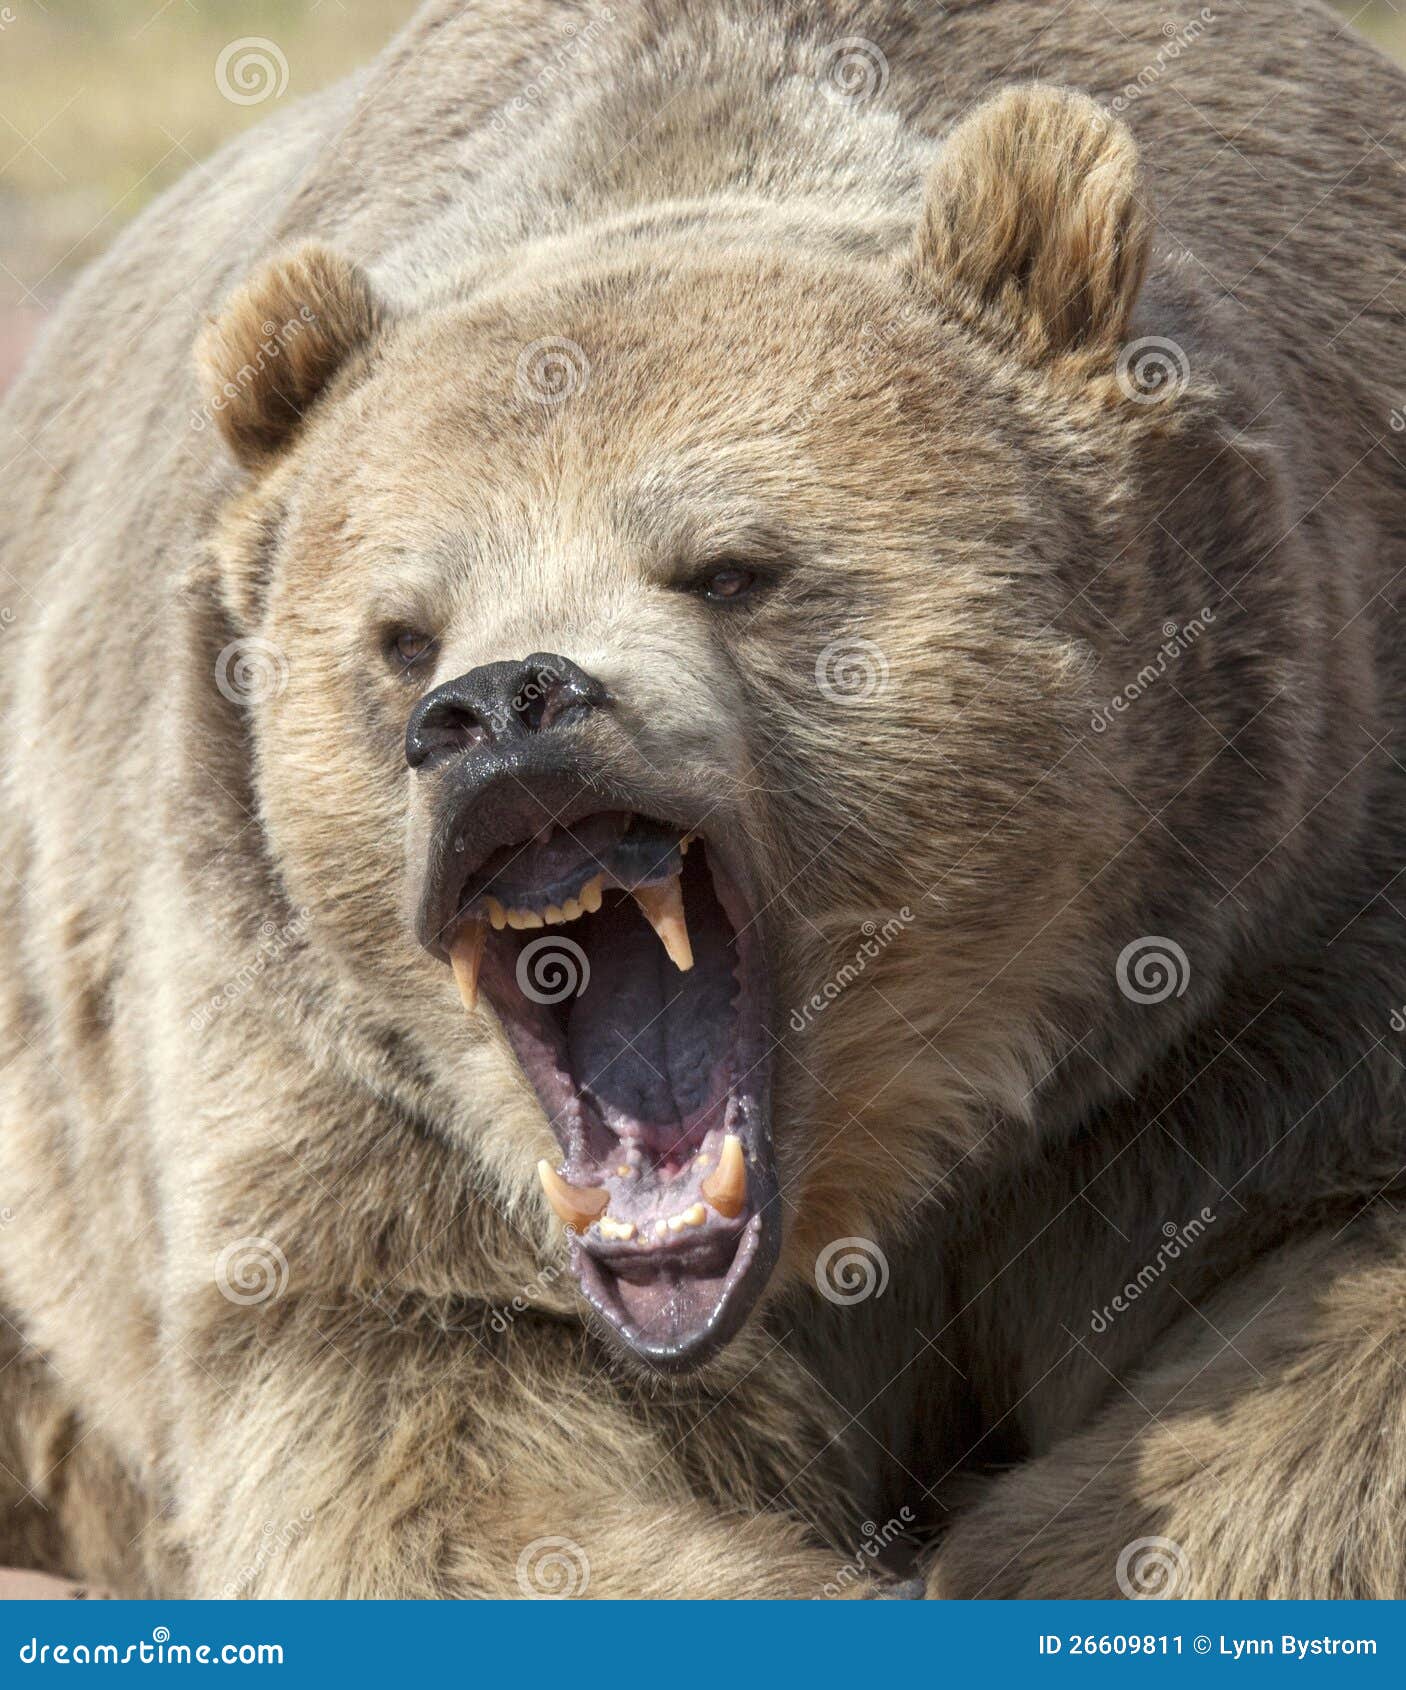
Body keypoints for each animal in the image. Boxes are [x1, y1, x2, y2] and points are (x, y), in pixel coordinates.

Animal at [2, 0, 1406, 1598]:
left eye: (730, 567)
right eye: (402, 632)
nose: (500, 711)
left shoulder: (1274, 927)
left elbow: (1325, 1310)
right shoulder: (334, 1069)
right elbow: (428, 1416)